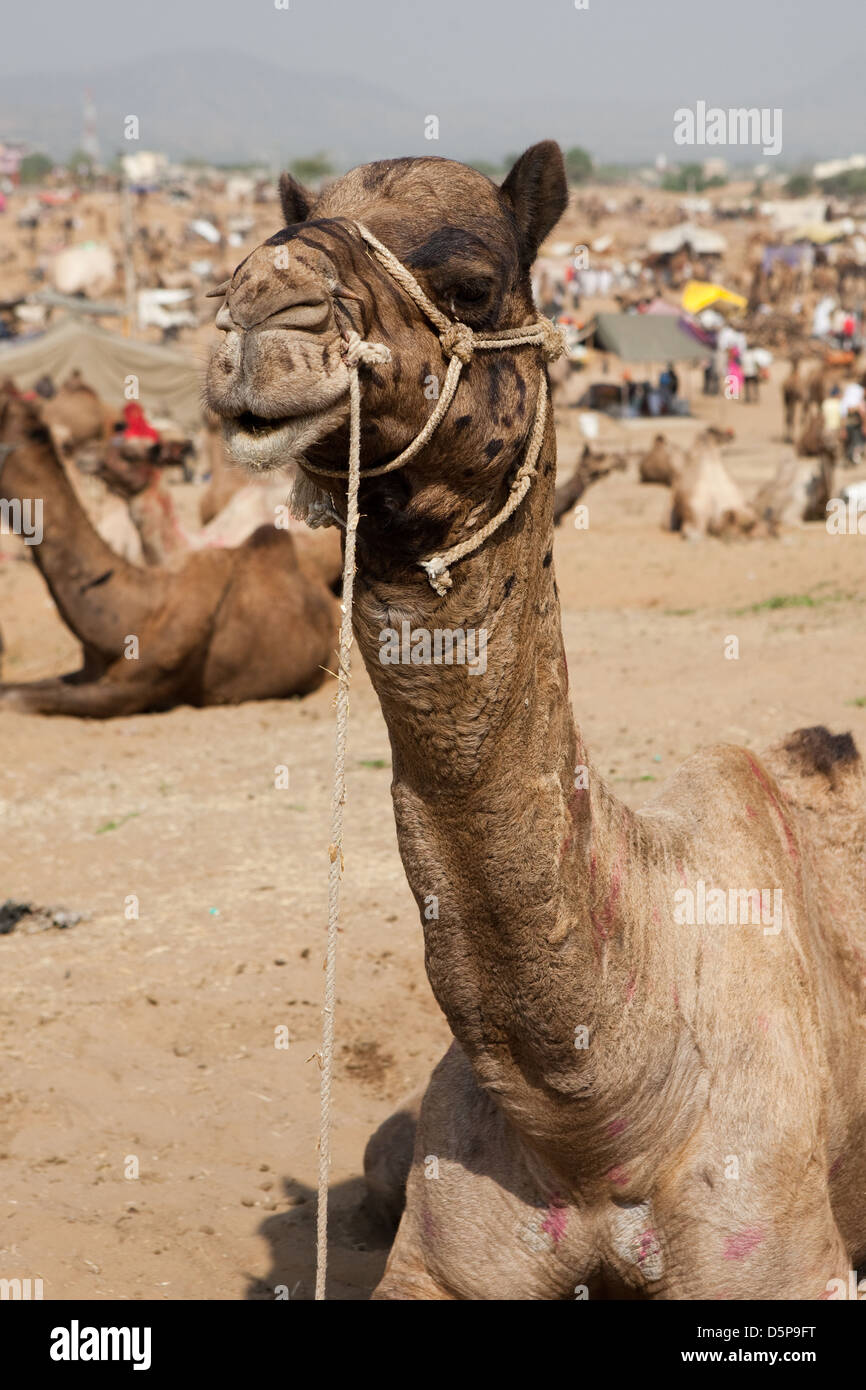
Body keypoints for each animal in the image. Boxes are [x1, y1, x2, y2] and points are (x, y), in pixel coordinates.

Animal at [205, 144, 866, 1299]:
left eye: (471, 282)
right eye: (281, 229)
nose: (256, 309)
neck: (600, 1114)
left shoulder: (783, 1249)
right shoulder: (440, 1261)